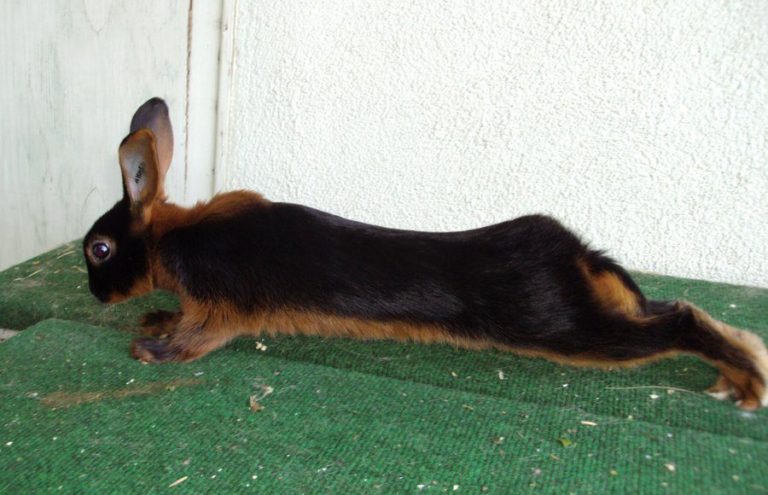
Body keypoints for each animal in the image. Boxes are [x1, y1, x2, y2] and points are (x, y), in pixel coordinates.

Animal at [83, 97, 768, 410]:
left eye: (100, 247)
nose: (94, 294)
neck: (173, 237)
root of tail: (578, 255)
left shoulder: (223, 307)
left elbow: (198, 337)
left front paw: (148, 349)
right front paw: (153, 319)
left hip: (566, 328)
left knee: (681, 321)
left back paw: (747, 381)